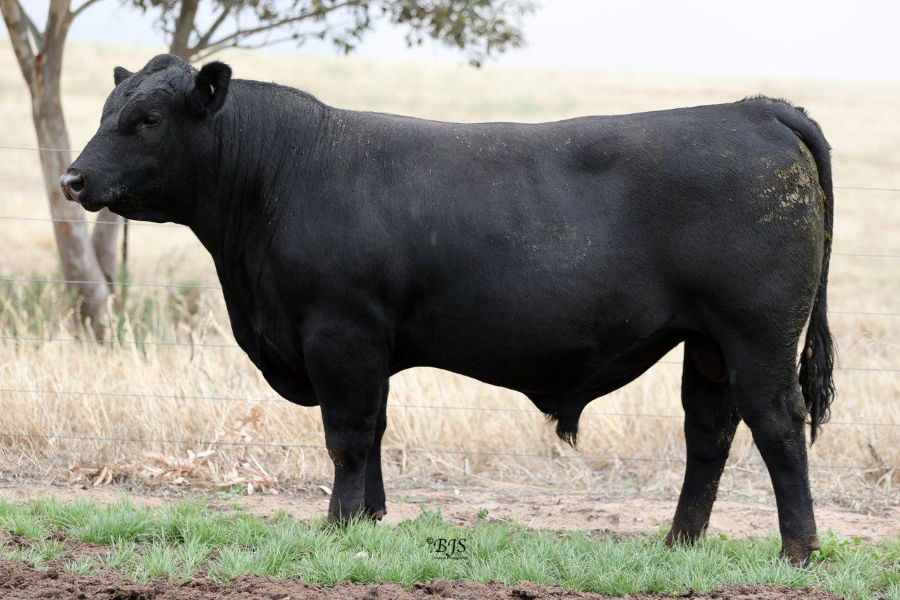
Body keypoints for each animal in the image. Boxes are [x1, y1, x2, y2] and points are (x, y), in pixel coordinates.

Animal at [61, 54, 835, 564]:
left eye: (148, 118)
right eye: (107, 111)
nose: (74, 178)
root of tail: (753, 107)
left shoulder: (341, 333)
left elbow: (347, 434)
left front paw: (336, 528)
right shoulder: (368, 346)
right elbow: (374, 431)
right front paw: (369, 520)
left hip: (756, 336)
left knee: (778, 425)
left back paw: (797, 551)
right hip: (707, 346)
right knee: (709, 433)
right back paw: (678, 544)